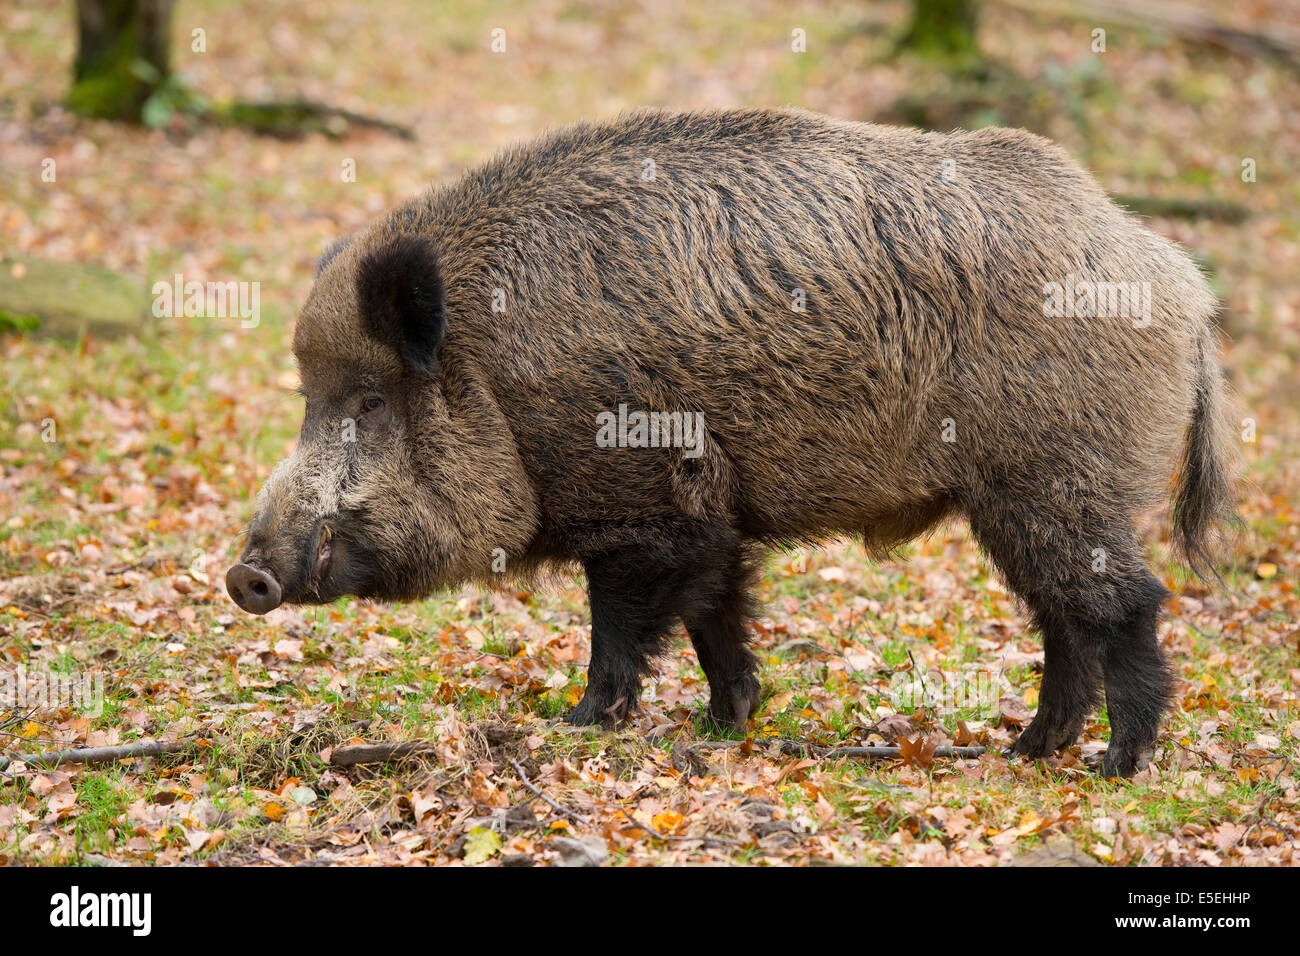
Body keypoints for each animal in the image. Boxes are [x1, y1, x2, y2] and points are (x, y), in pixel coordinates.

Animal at [226, 108, 1237, 777]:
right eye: (311, 400)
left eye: (368, 402)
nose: (244, 575)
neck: (495, 371)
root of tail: (1182, 287)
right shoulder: (708, 517)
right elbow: (718, 617)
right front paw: (726, 726)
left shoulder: (641, 509)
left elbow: (624, 626)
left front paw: (581, 724)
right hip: (1021, 497)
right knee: (1062, 615)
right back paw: (1030, 751)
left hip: (1056, 476)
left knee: (1125, 603)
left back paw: (1116, 766)